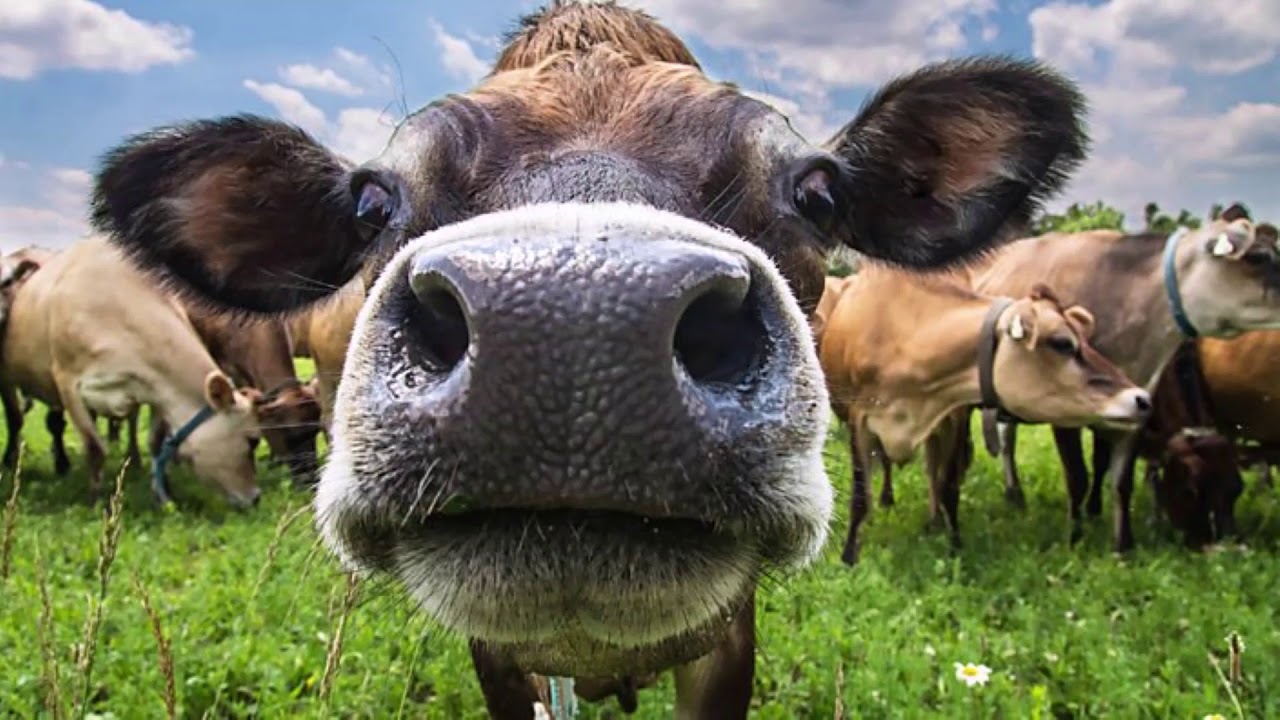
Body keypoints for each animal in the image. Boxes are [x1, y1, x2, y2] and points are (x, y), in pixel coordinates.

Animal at [0, 235, 264, 507]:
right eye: (252, 440)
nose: (256, 497)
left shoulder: (158, 390)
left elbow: (156, 444)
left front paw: (162, 495)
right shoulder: (68, 383)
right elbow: (94, 447)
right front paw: (95, 500)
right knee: (19, 419)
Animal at [820, 267, 1149, 562]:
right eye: (1062, 343)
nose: (1142, 398)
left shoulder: (953, 416)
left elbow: (948, 485)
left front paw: (954, 546)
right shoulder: (858, 419)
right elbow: (860, 496)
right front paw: (850, 556)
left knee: (932, 469)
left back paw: (933, 521)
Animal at [968, 206, 1280, 552]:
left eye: (1236, 488)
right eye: (1258, 257)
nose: (1226, 549)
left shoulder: (1136, 408)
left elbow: (1118, 478)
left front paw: (1121, 544)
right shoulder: (1063, 413)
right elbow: (1078, 477)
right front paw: (1074, 536)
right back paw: (1013, 495)